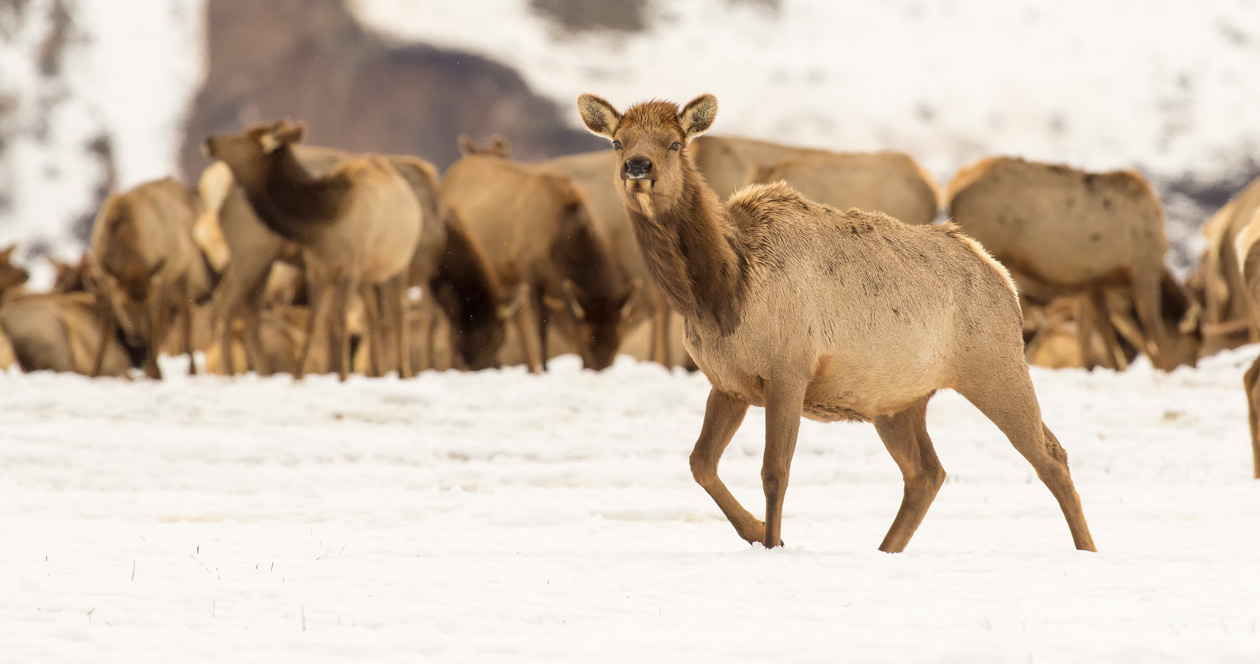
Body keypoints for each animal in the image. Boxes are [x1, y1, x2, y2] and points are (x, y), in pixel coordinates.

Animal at [206, 120, 423, 381]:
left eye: (245, 138)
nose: (209, 140)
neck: (323, 220)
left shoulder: (349, 269)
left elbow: (338, 322)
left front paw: (342, 375)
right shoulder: (317, 270)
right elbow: (314, 323)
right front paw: (300, 376)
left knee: (396, 313)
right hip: (257, 257)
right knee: (240, 304)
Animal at [577, 93, 1096, 552]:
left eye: (674, 143)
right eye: (617, 142)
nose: (637, 167)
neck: (721, 293)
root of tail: (1002, 277)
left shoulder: (788, 370)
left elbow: (775, 472)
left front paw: (773, 542)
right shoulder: (727, 383)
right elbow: (700, 464)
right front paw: (756, 531)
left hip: (995, 366)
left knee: (1050, 455)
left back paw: (1086, 548)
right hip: (898, 401)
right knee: (926, 473)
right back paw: (885, 549)